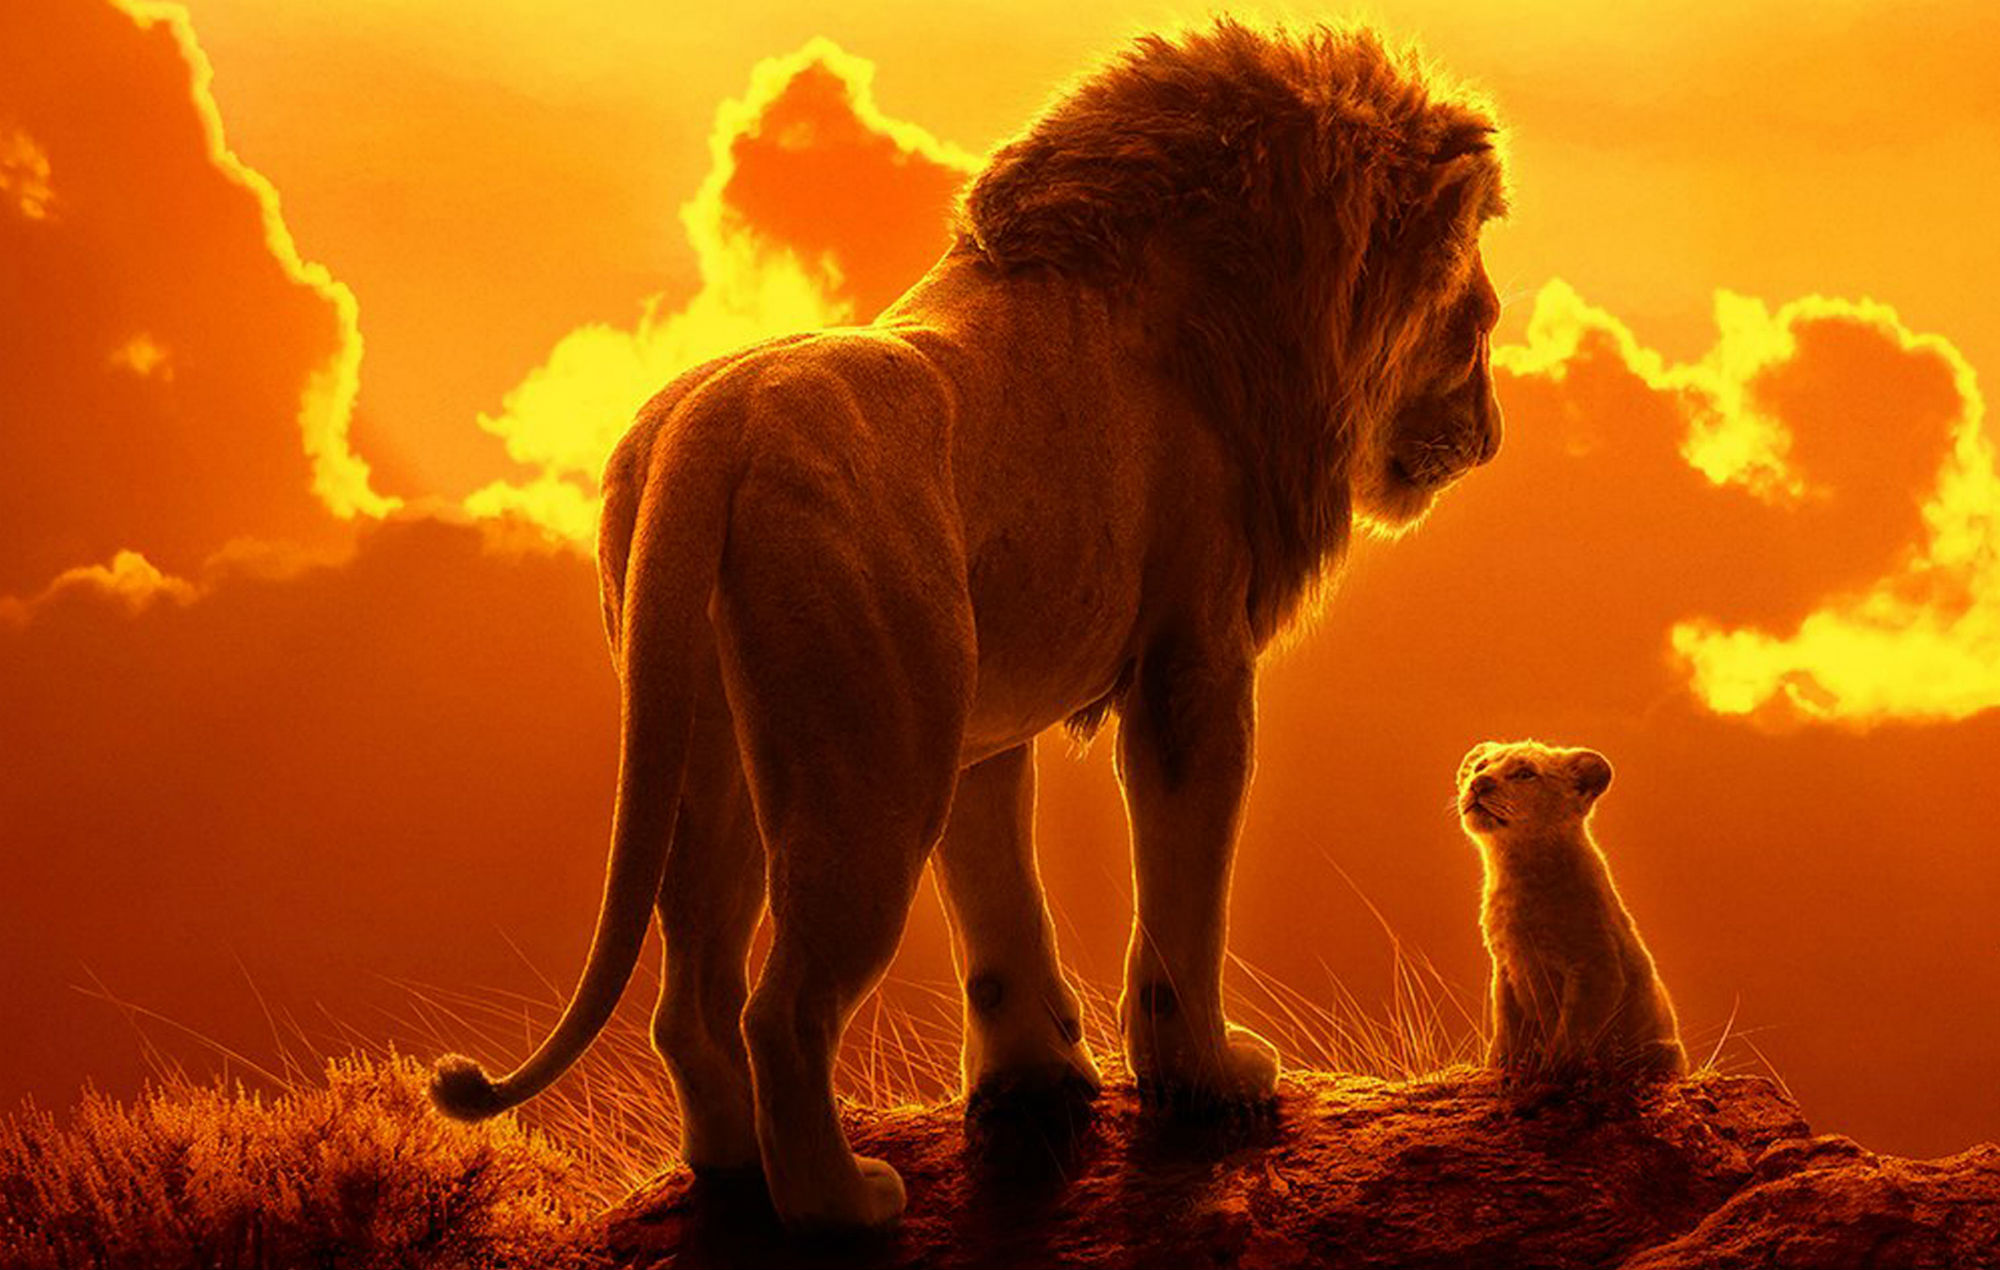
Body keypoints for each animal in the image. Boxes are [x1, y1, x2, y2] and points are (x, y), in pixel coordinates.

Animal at [433, 19, 1509, 1229]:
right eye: (1477, 324)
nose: (1491, 437)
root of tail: (710, 431)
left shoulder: (980, 718)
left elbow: (998, 906)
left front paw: (1033, 1080)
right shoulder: (1191, 664)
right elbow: (1181, 900)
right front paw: (1207, 1078)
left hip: (713, 752)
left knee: (694, 996)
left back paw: (732, 1172)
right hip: (870, 771)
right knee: (783, 1009)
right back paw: (841, 1203)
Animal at [1457, 742, 1689, 1079]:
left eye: (1525, 773)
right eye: (1480, 766)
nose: (1479, 783)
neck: (1514, 868)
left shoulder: (1596, 966)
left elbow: (1572, 1033)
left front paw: (1552, 1072)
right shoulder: (1506, 967)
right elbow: (1506, 1026)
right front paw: (1503, 1067)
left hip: (1664, 1050)